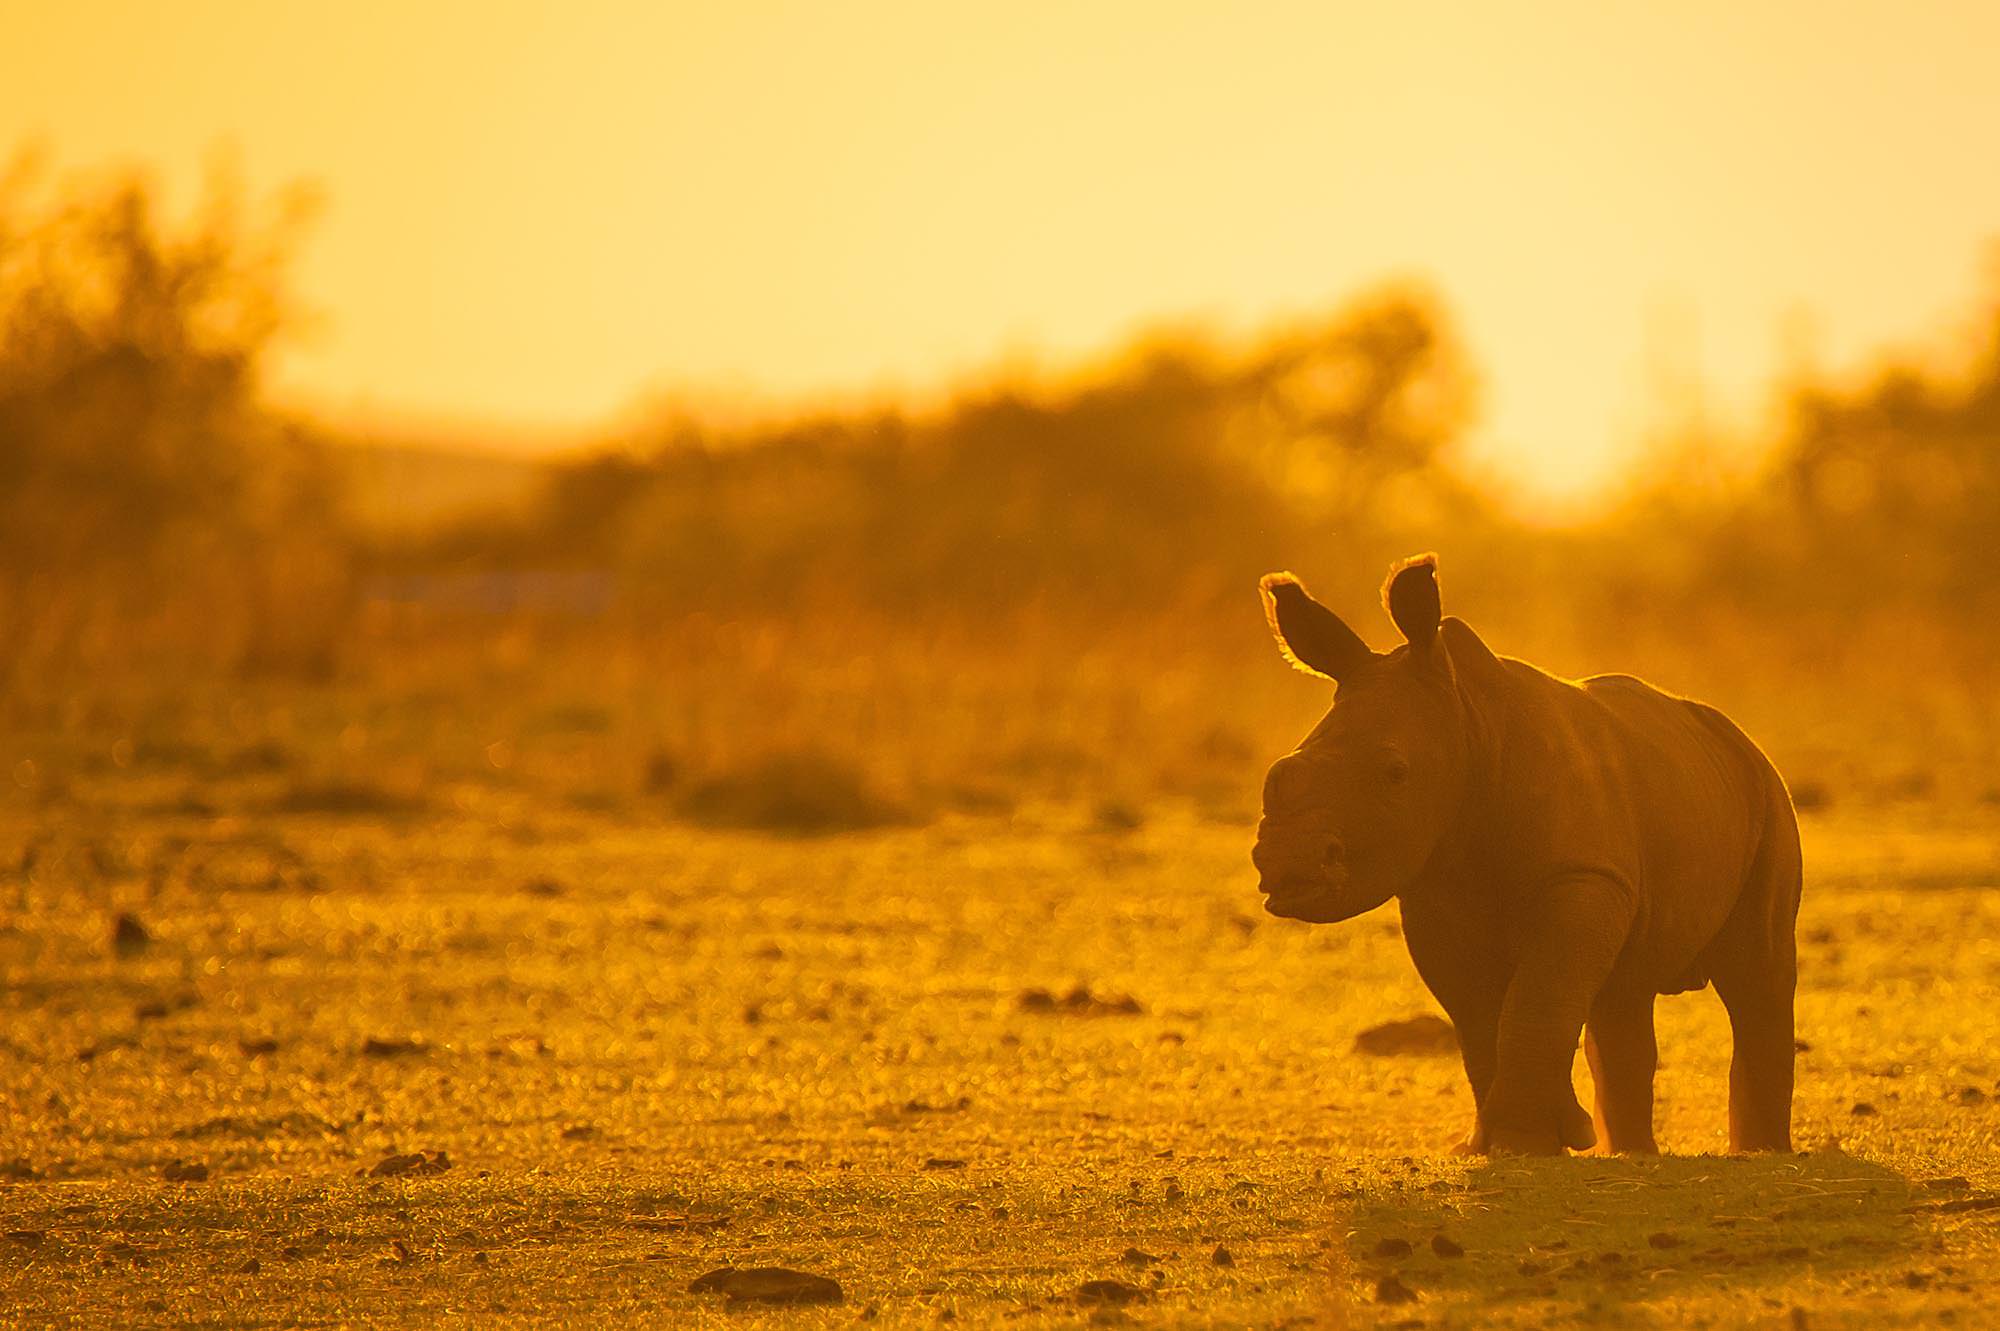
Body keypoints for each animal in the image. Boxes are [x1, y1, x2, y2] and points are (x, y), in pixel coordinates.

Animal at [1252, 554, 1801, 1155]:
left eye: (1395, 773)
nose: (1287, 864)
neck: (1469, 721)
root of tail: (1734, 734)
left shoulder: (1581, 875)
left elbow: (1539, 994)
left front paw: (1525, 1139)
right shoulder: (1432, 896)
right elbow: (1480, 1017)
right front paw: (1504, 1142)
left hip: (1767, 793)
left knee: (1757, 971)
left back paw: (1760, 1153)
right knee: (1625, 991)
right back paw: (1632, 1153)